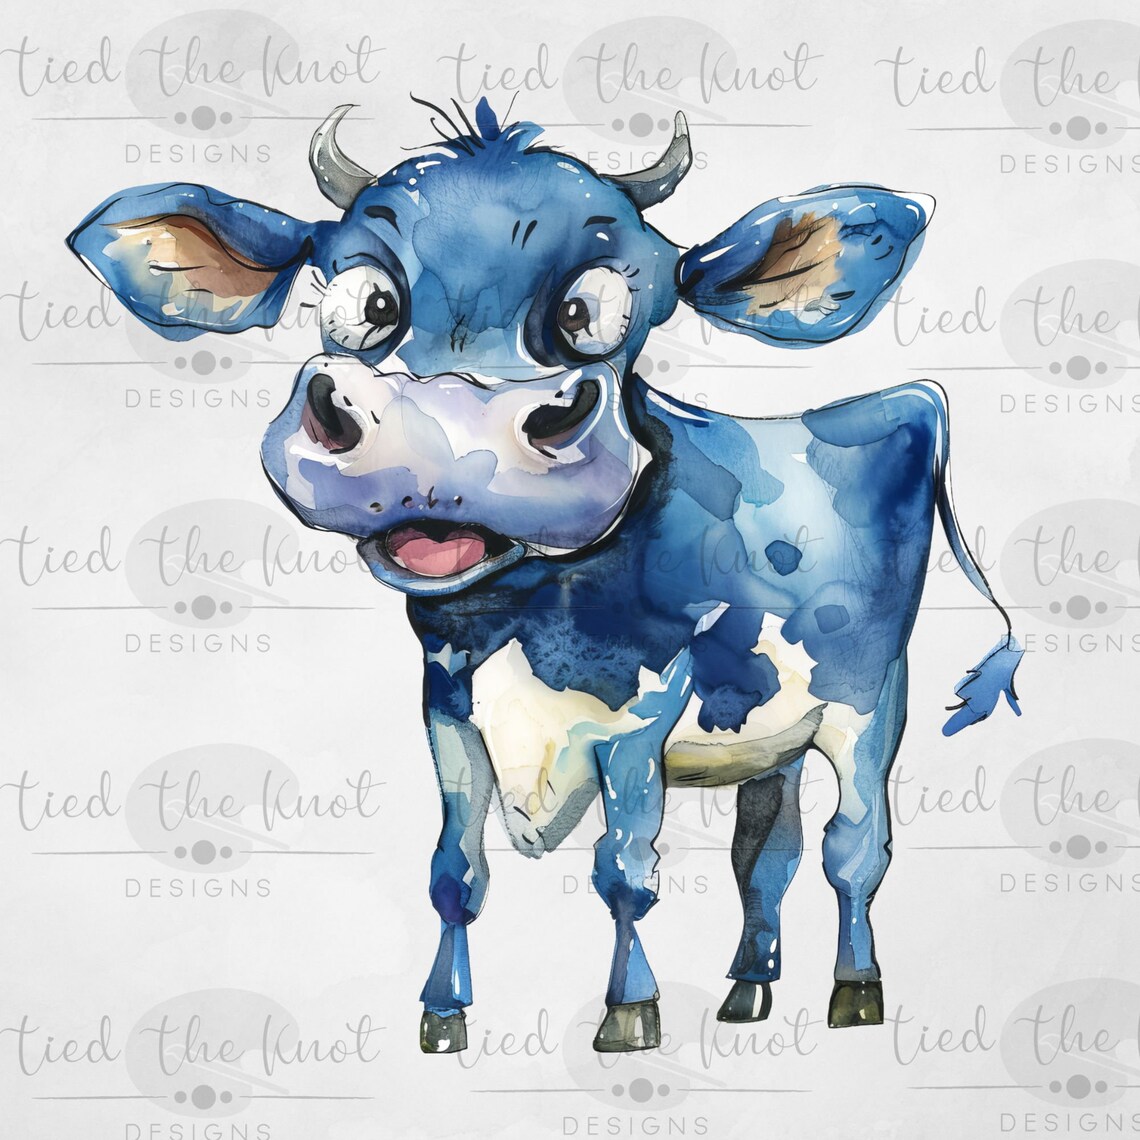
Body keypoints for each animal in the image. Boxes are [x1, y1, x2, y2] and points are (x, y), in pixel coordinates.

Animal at [68, 97, 1023, 1055]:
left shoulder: (640, 721)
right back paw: (748, 988)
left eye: (589, 310)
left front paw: (629, 1012)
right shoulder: (449, 712)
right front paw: (442, 1014)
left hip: (871, 702)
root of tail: (903, 401)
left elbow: (625, 872)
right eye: (365, 302)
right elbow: (454, 871)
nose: (442, 438)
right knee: (768, 849)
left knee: (854, 847)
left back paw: (855, 989)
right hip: (769, 726)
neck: (520, 617)